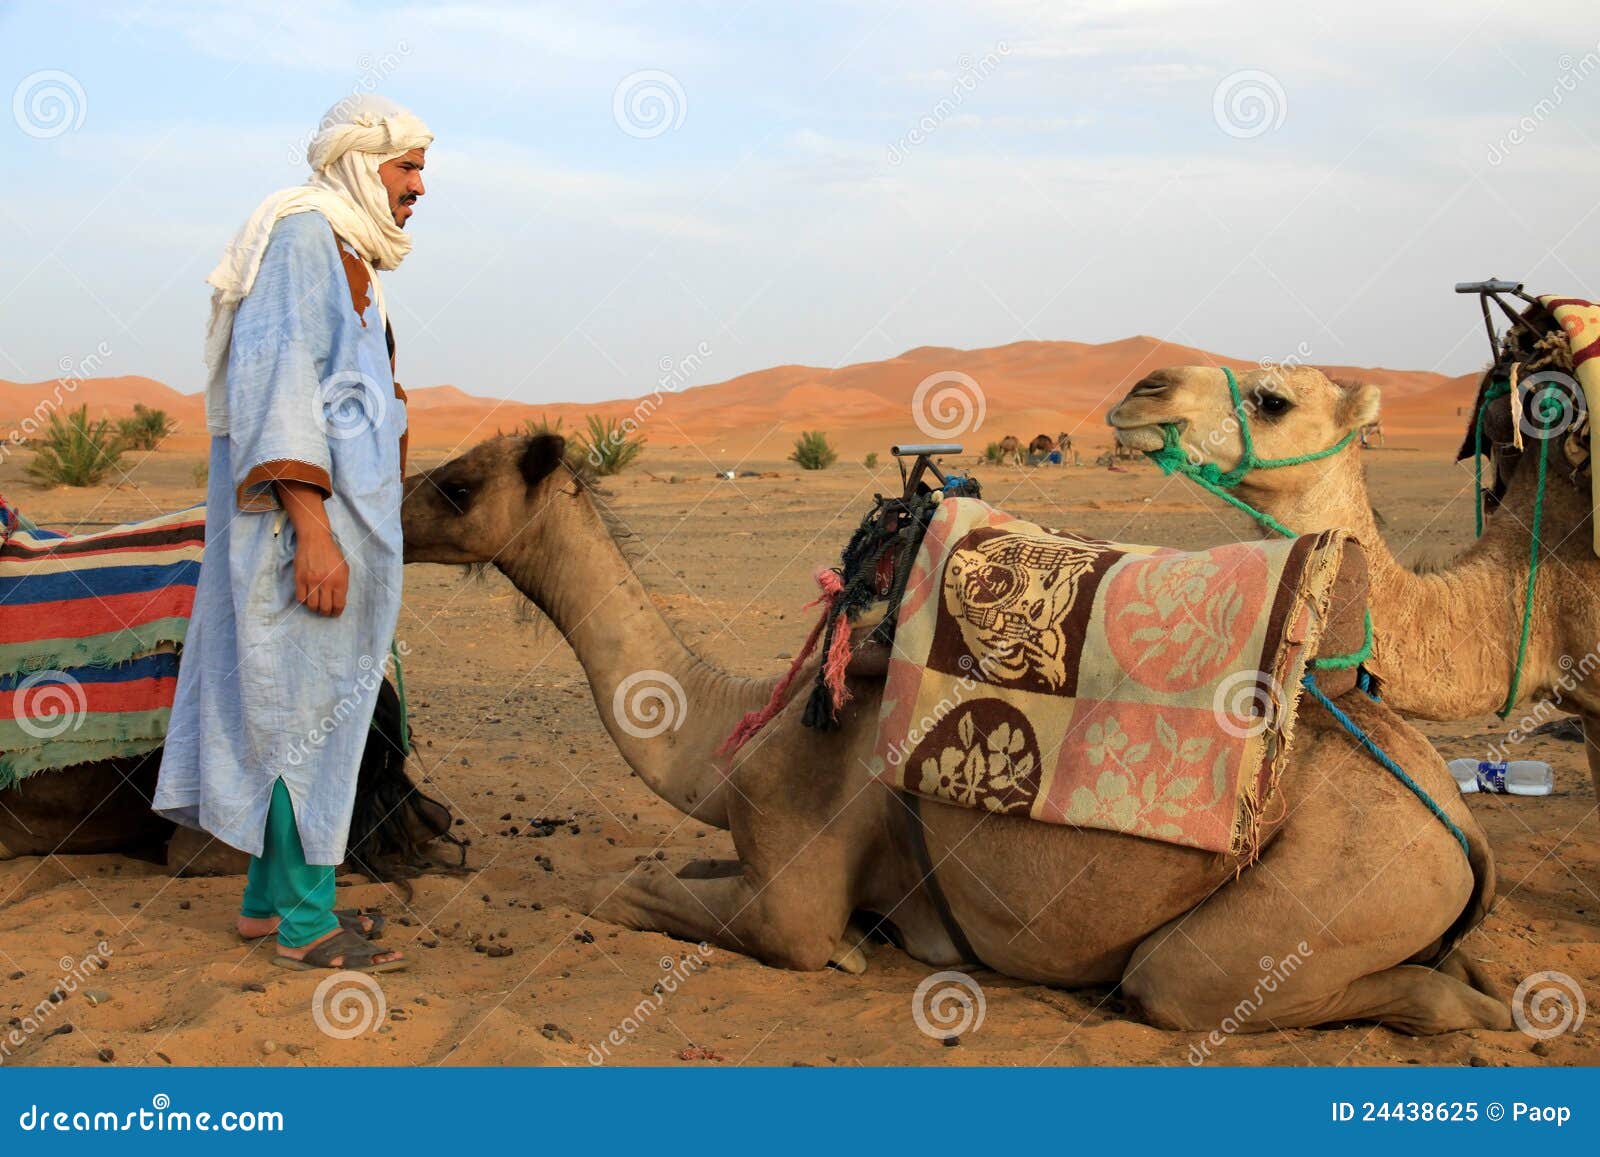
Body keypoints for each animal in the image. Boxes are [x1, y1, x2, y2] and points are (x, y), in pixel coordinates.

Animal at [400, 432, 1510, 1035]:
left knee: (1194, 982)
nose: (391, 500)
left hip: (1335, 886)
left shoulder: (792, 893)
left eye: (457, 483)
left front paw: (853, 954)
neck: (728, 739)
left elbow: (627, 889)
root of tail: (1460, 824)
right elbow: (660, 872)